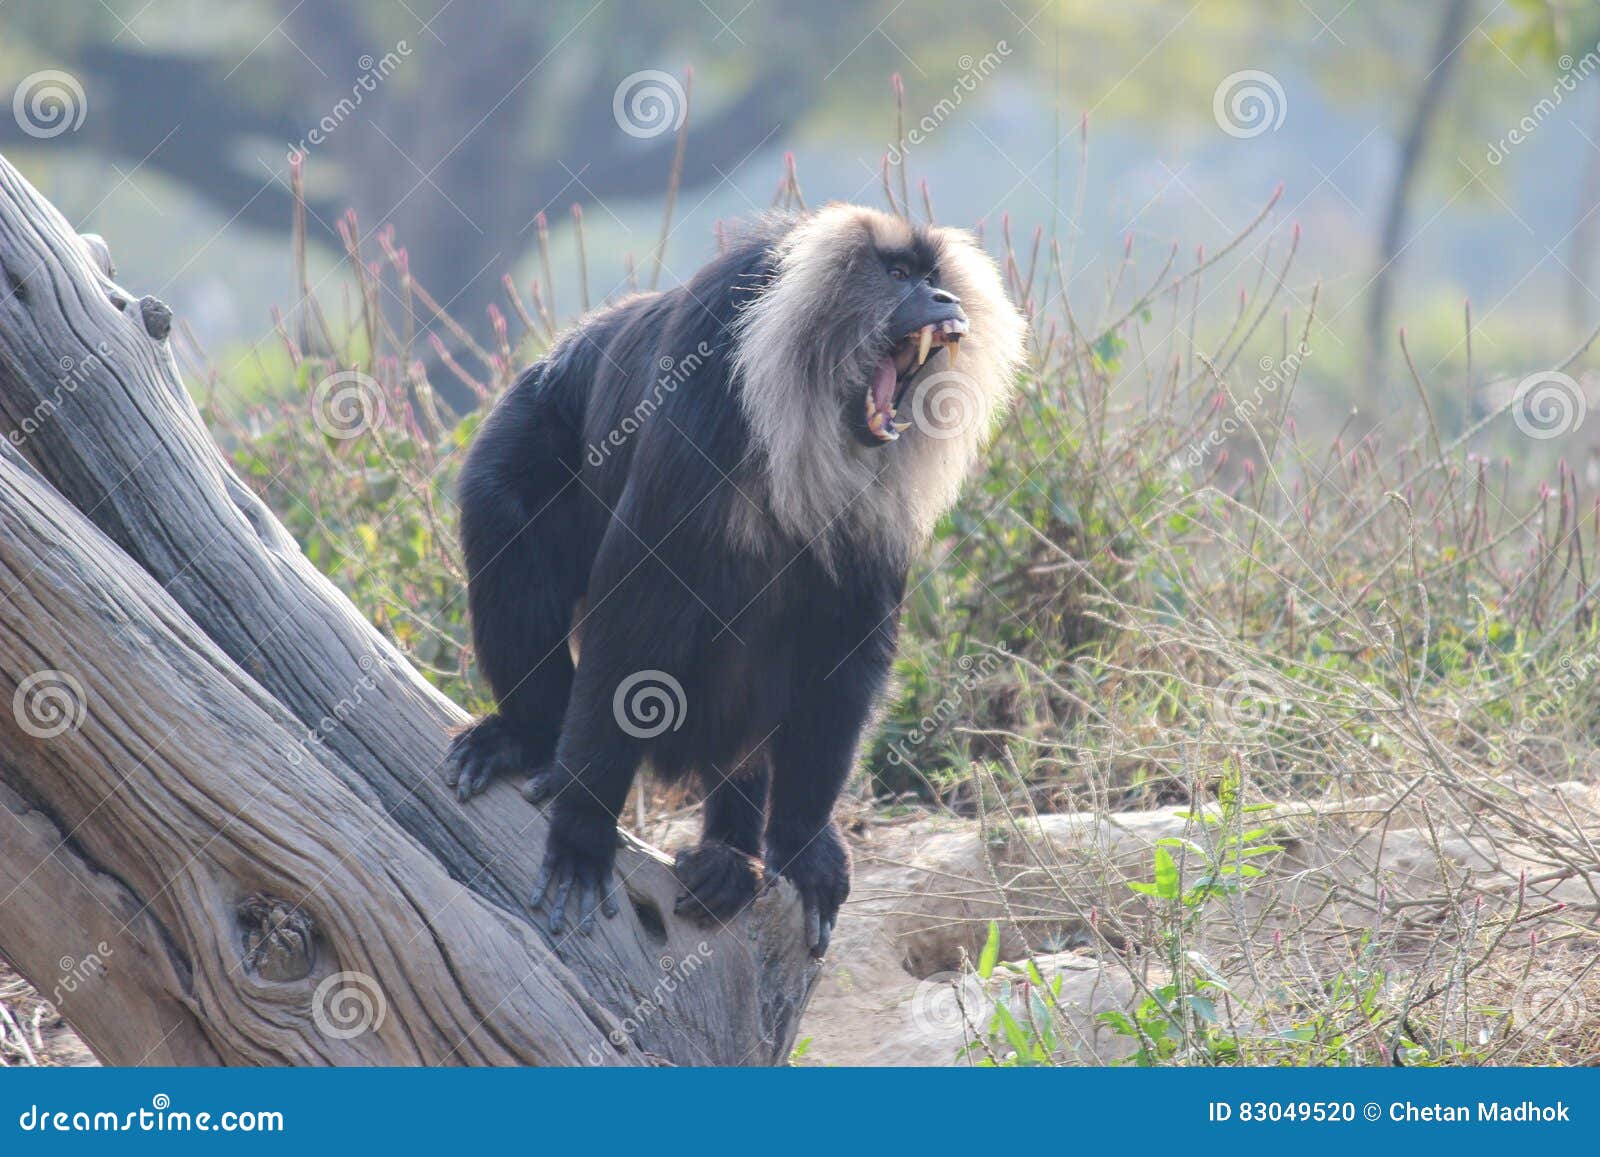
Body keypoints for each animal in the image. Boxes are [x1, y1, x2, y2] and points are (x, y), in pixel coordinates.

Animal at [445, 203, 1025, 955]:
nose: (946, 300)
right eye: (898, 274)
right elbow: (632, 623)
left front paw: (803, 846)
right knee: (505, 518)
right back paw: (525, 738)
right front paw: (581, 832)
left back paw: (730, 855)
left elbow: (845, 656)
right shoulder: (708, 372)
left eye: (933, 275)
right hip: (535, 410)